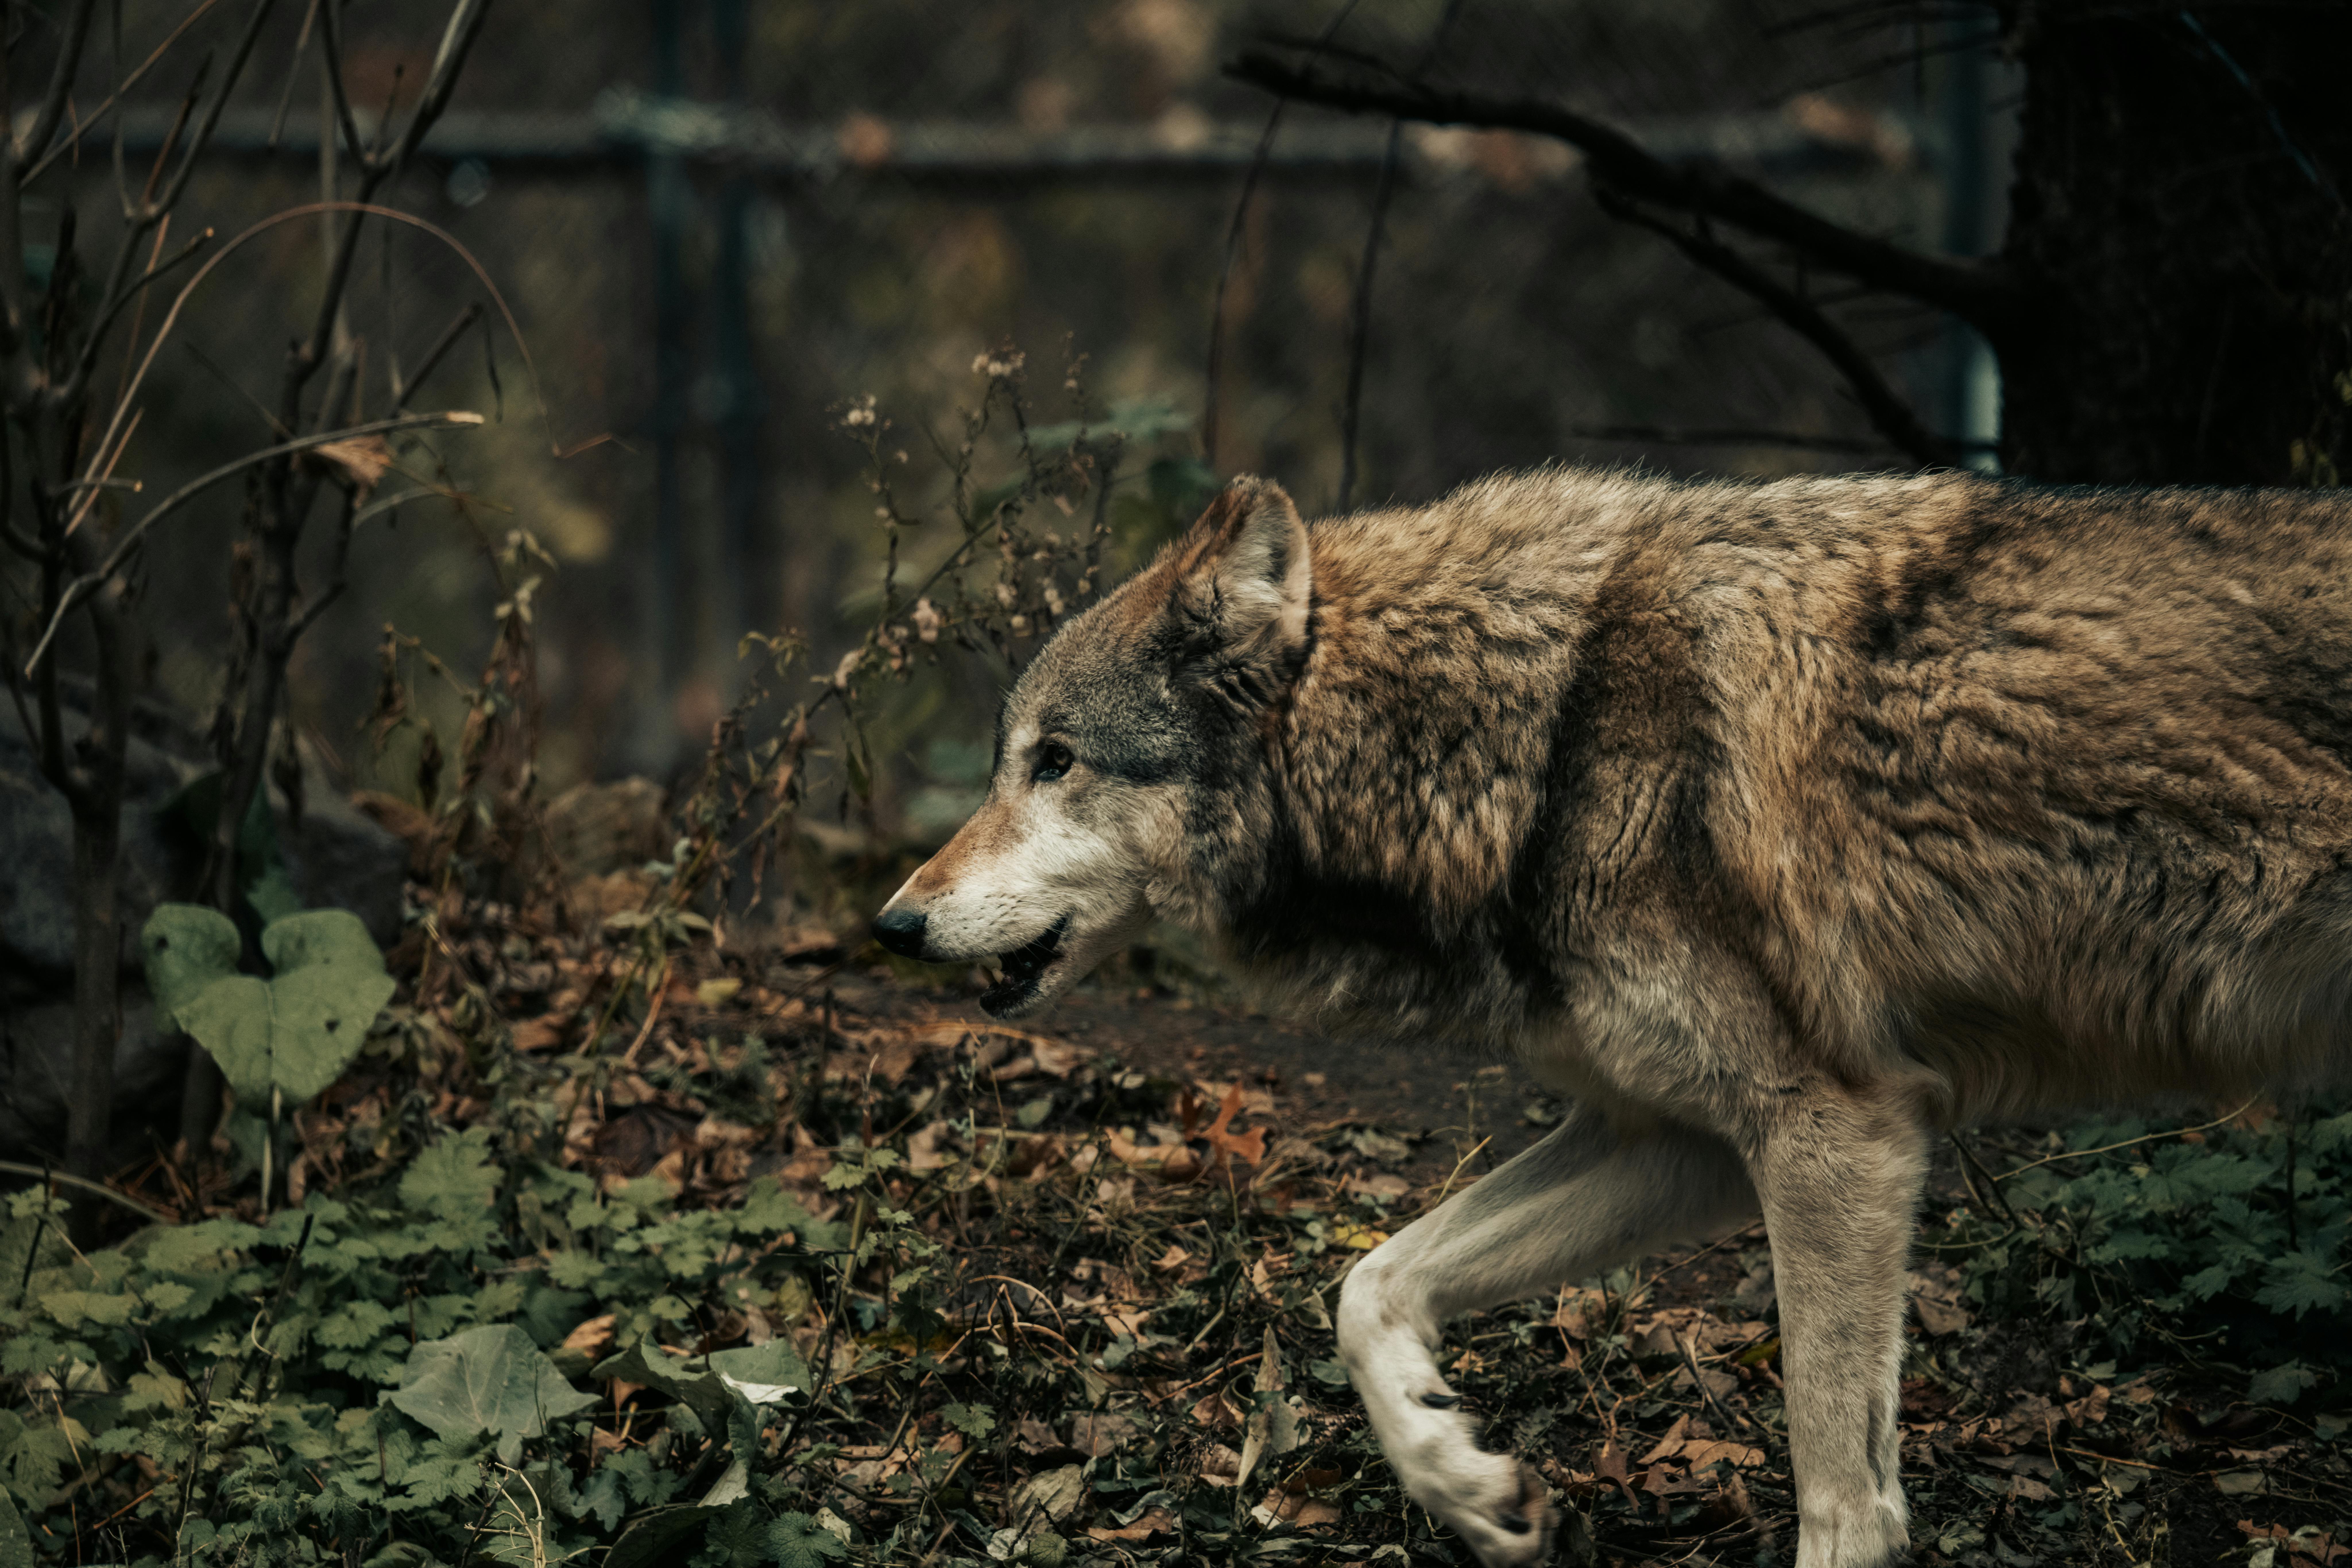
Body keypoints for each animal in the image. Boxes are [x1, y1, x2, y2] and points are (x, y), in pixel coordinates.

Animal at [872, 468, 2352, 1568]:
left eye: (1053, 761)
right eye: (1010, 762)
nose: (894, 923)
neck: (1543, 732)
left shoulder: (1839, 1139)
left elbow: (1841, 1497)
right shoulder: (1675, 1139)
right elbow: (1368, 1284)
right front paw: (1466, 1485)